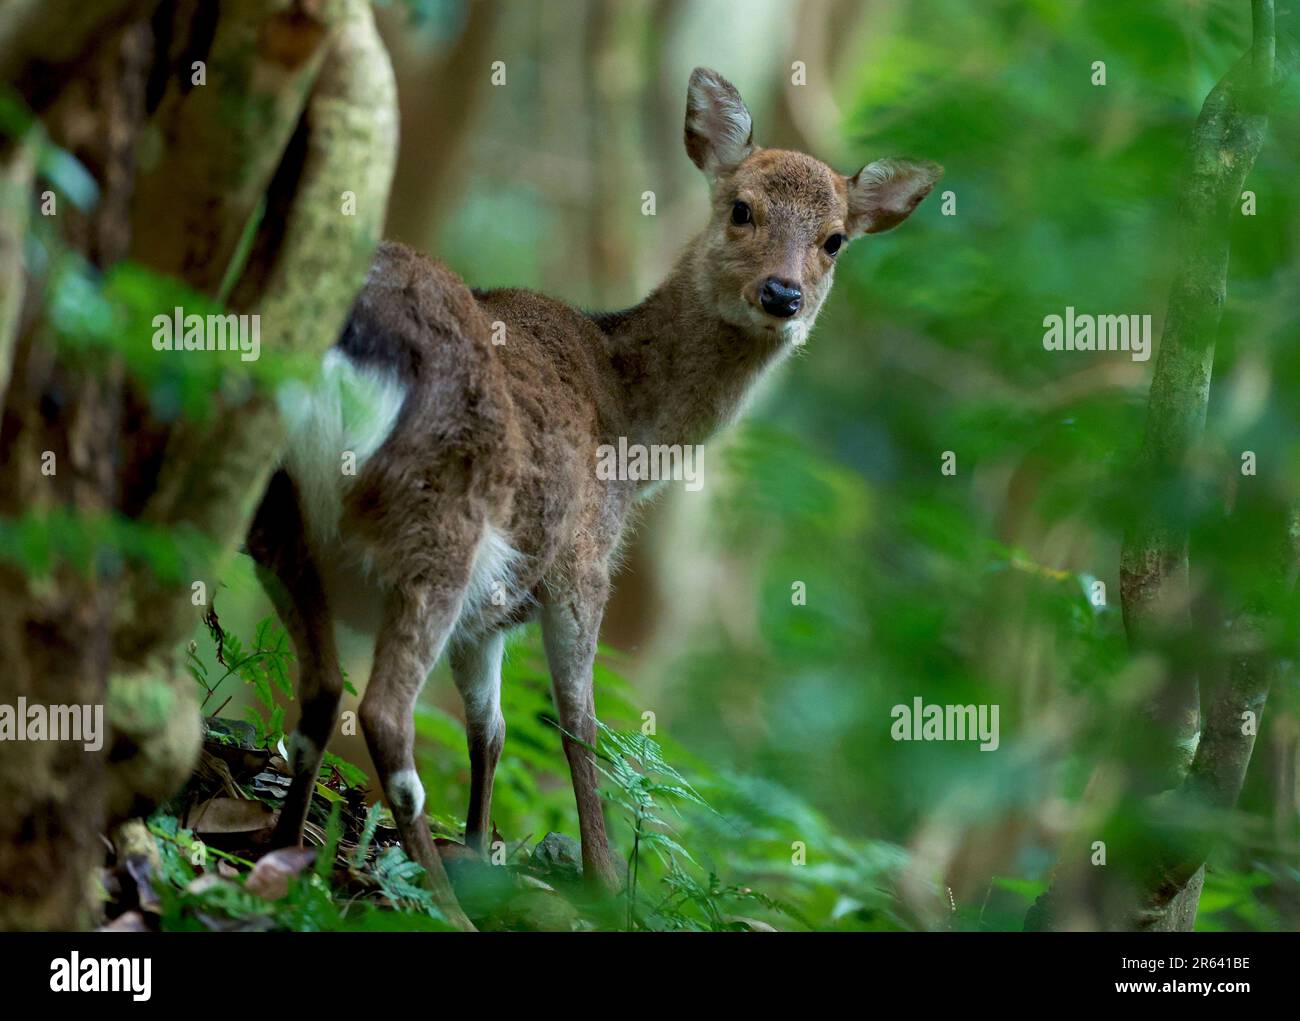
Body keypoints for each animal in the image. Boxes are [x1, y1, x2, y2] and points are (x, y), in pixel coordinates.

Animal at [244, 67, 941, 930]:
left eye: (836, 238)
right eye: (741, 207)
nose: (782, 294)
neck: (630, 425)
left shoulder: (490, 609)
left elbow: (491, 729)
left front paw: (483, 848)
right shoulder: (579, 558)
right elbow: (578, 720)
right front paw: (606, 879)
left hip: (273, 508)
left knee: (320, 691)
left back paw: (282, 855)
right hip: (439, 523)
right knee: (381, 711)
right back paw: (444, 908)